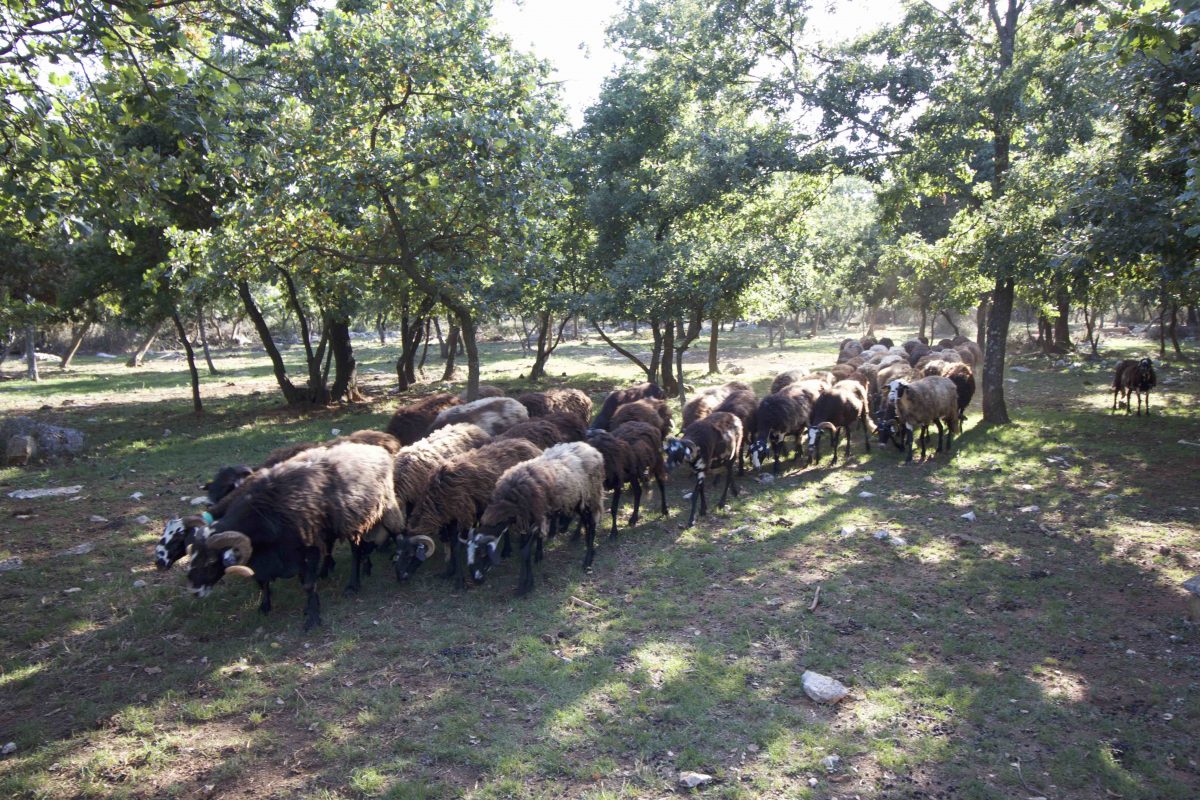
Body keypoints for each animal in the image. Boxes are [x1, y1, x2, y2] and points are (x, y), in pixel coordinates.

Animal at [185, 442, 404, 630]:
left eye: (211, 561)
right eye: (192, 557)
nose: (194, 591)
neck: (266, 513)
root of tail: (375, 449)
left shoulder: (309, 547)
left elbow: (308, 584)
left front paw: (312, 617)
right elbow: (265, 581)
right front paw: (265, 606)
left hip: (366, 515)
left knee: (358, 550)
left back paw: (353, 584)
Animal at [397, 438, 543, 586]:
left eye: (410, 554)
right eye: (398, 554)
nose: (400, 577)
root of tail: (529, 444)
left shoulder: (465, 517)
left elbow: (456, 548)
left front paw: (459, 581)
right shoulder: (451, 518)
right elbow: (453, 544)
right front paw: (449, 571)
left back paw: (537, 554)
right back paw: (508, 550)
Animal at [470, 442, 605, 594]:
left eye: (482, 554)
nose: (475, 580)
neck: (508, 502)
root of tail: (590, 448)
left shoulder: (537, 520)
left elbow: (525, 552)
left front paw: (524, 586)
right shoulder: (525, 521)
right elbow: (525, 553)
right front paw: (529, 581)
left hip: (591, 496)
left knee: (592, 523)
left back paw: (587, 560)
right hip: (577, 500)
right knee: (586, 522)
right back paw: (590, 548)